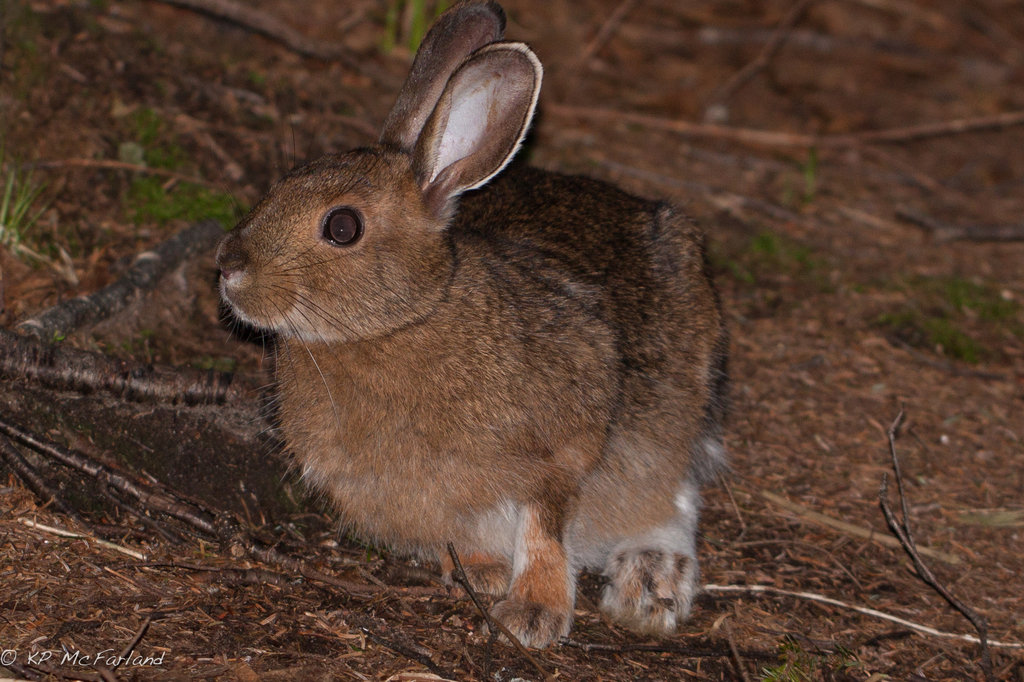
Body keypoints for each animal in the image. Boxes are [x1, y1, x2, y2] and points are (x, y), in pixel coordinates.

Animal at [216, 0, 728, 649]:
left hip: (672, 422)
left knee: (676, 499)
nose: (228, 265)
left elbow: (544, 529)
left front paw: (533, 615)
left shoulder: (563, 448)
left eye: (342, 227)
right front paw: (477, 575)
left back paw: (651, 582)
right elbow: (462, 537)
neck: (409, 317)